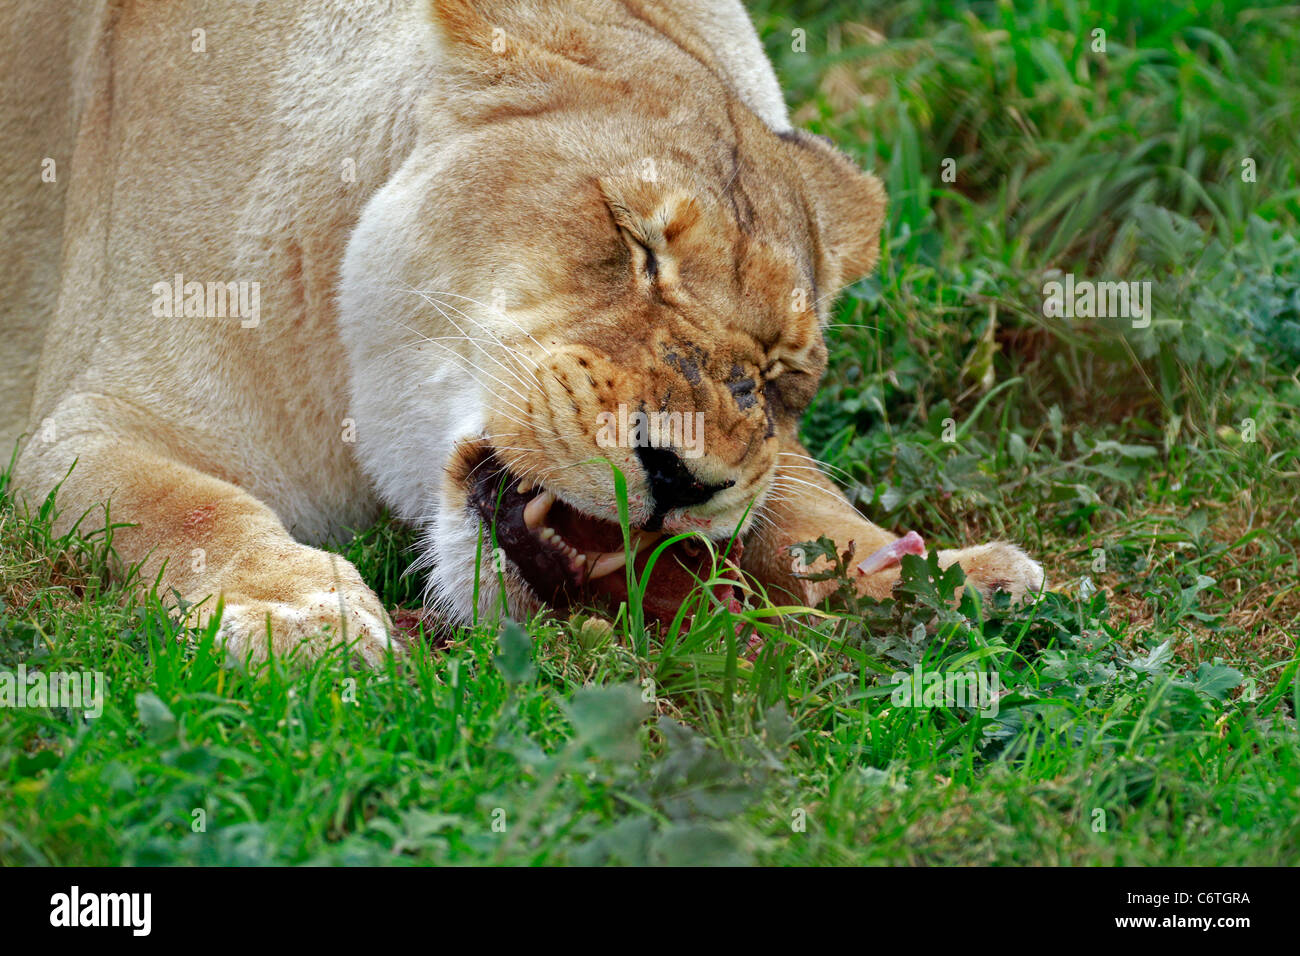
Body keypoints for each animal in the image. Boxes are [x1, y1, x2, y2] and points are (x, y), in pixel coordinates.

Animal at [0, 0, 1043, 664]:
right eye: (635, 242)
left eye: (783, 370)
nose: (680, 478)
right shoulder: (90, 423)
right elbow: (187, 506)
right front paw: (293, 611)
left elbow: (797, 494)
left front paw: (944, 576)